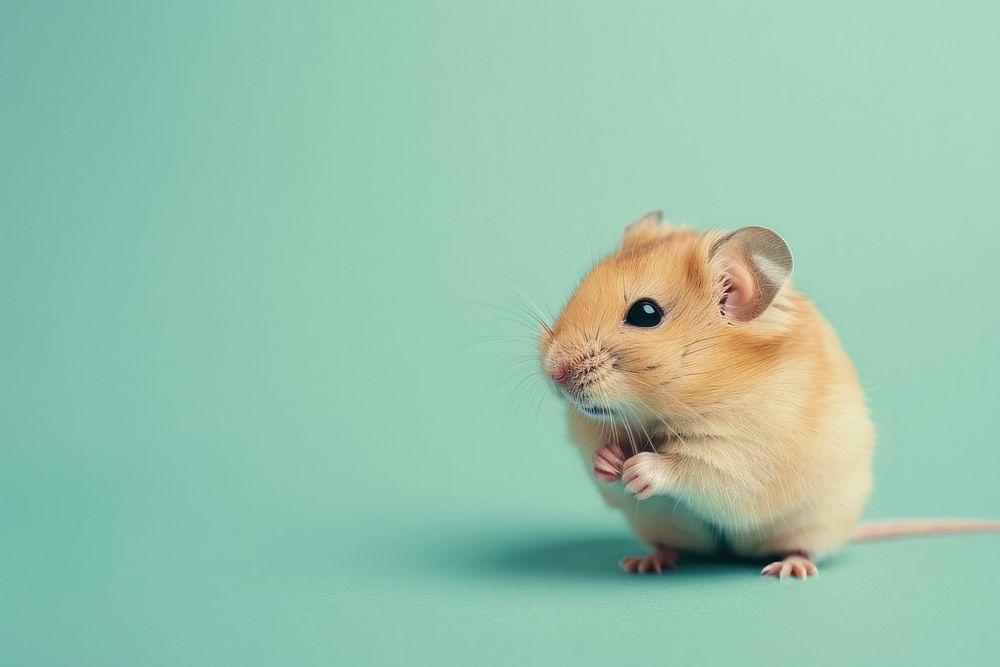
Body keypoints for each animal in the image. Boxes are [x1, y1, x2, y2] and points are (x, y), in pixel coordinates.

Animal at [539, 211, 1000, 579]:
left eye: (645, 313)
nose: (554, 371)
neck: (669, 410)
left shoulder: (740, 457)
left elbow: (690, 467)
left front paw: (639, 469)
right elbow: (606, 468)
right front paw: (608, 460)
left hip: (818, 520)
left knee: (803, 547)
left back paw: (789, 569)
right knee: (671, 546)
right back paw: (643, 563)